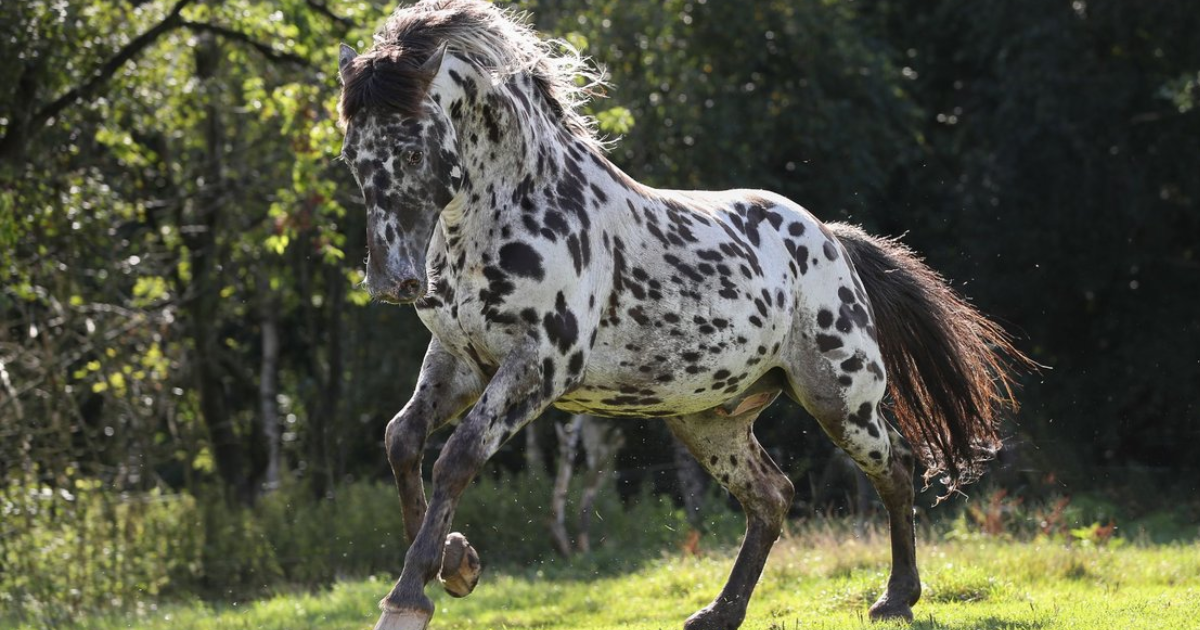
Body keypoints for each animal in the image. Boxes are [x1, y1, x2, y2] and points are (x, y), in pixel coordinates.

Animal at [335, 2, 1027, 628]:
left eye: (413, 148)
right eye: (351, 154)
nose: (394, 281)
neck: (501, 214)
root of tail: (832, 239)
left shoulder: (539, 365)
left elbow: (457, 456)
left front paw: (411, 596)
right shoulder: (459, 360)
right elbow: (402, 440)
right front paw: (455, 564)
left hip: (840, 400)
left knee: (897, 468)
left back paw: (895, 599)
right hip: (708, 420)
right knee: (772, 498)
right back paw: (720, 613)